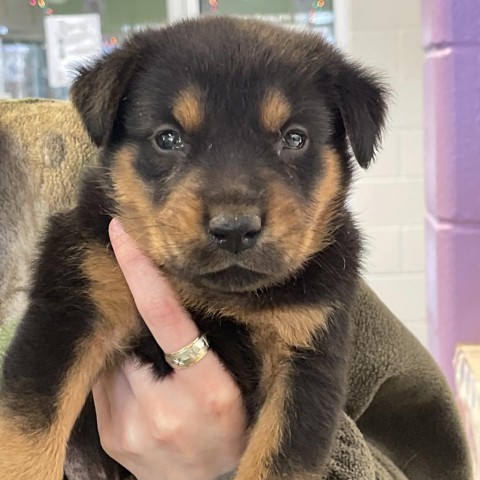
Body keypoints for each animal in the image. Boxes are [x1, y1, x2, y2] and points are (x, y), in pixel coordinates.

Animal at [0, 15, 386, 480]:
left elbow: (276, 462)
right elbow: (29, 434)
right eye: (168, 139)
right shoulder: (74, 304)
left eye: (295, 139)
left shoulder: (306, 360)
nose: (234, 229)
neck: (209, 293)